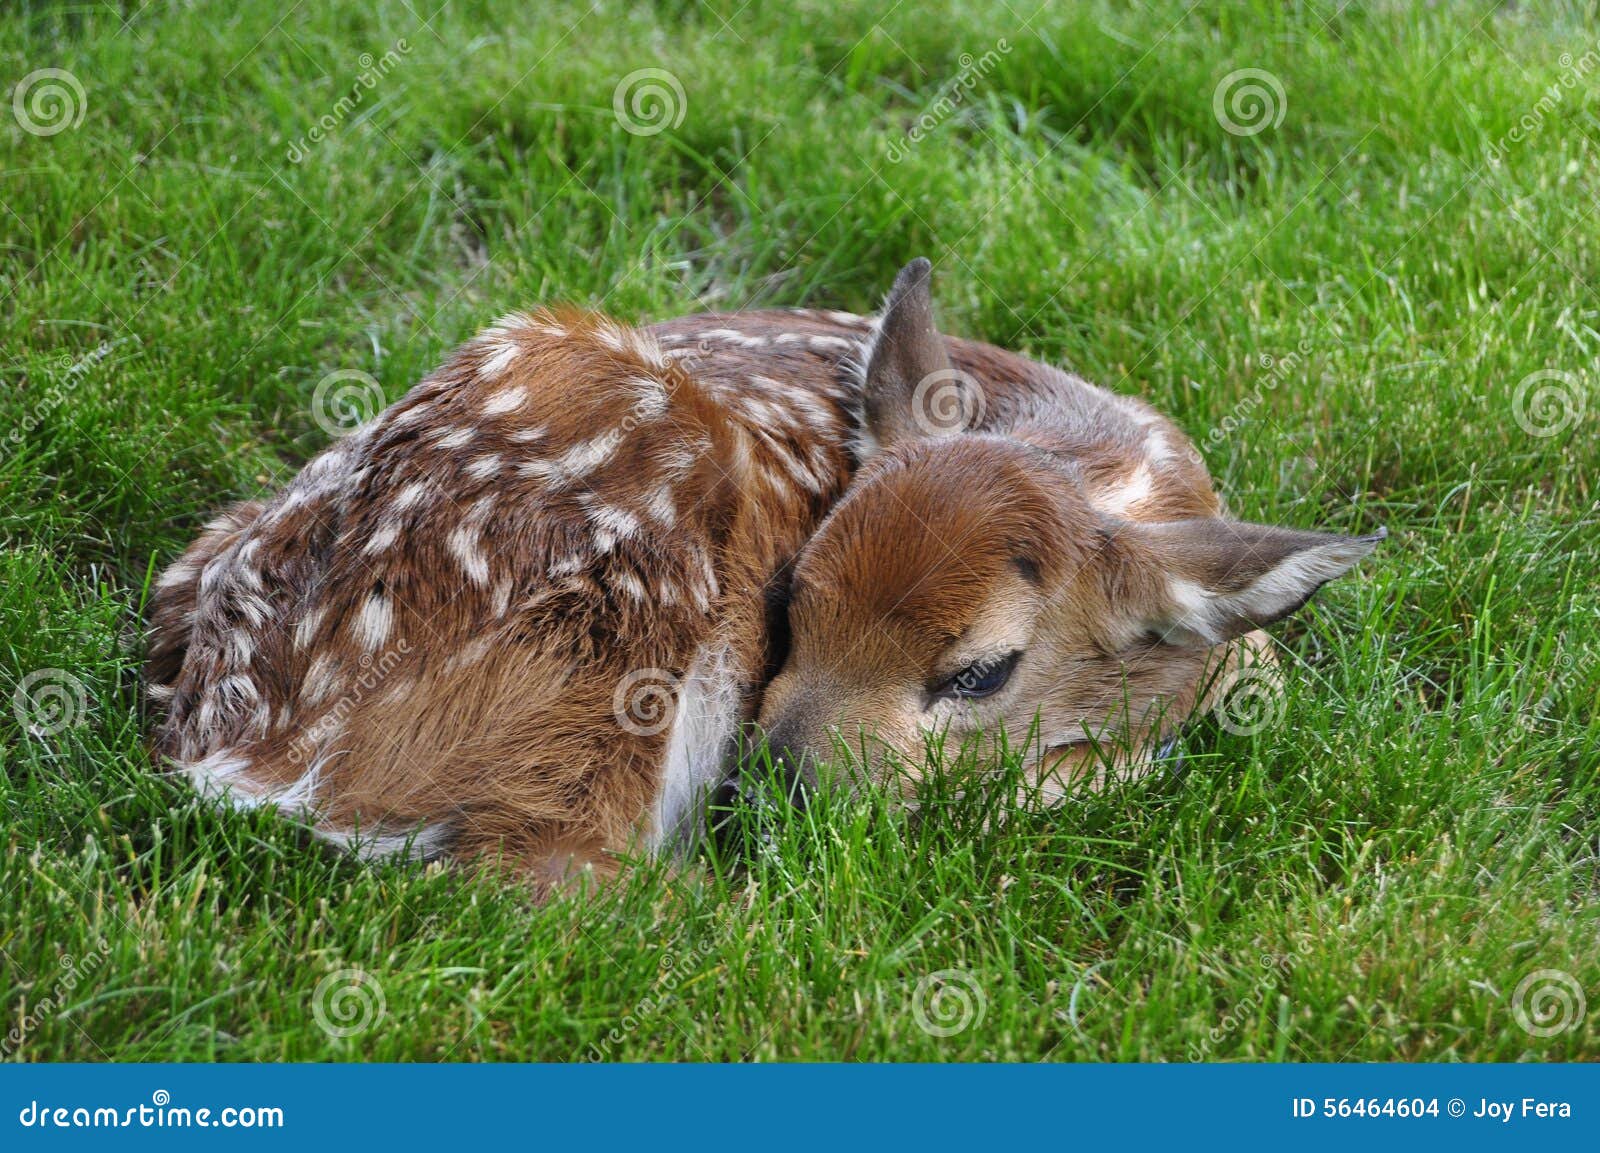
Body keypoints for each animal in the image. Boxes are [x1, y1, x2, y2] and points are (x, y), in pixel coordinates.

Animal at [145, 259, 1382, 887]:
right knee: (562, 877)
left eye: (981, 672)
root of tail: (250, 756)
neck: (1113, 465)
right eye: (792, 599)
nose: (773, 784)